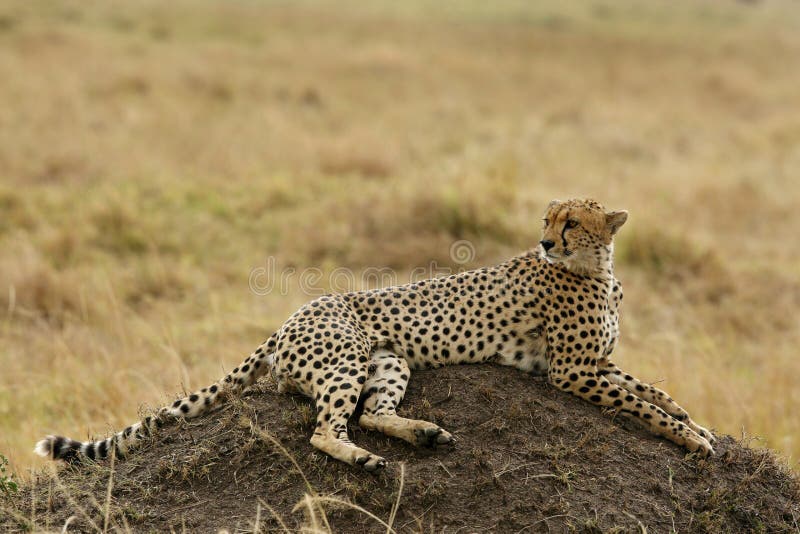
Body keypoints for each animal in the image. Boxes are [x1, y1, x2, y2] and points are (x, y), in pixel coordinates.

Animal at [36, 198, 715, 472]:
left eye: (570, 222)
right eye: (547, 221)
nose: (547, 242)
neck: (597, 267)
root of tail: (287, 317)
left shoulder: (595, 364)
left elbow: (651, 387)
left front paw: (693, 420)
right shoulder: (571, 372)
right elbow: (640, 403)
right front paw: (691, 439)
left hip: (388, 361)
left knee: (368, 414)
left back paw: (422, 433)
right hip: (346, 355)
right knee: (324, 431)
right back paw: (366, 460)